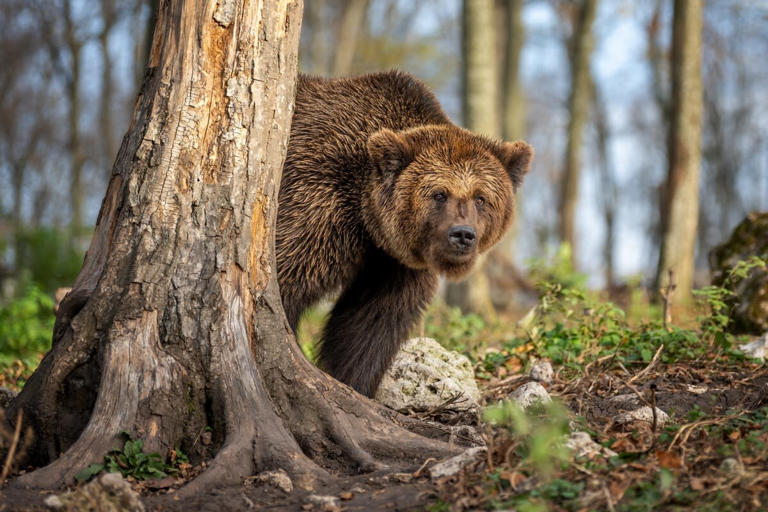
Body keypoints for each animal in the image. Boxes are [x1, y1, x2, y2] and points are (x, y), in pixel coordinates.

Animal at [276, 71, 533, 397]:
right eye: (439, 194)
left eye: (480, 198)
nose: (463, 235)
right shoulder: (315, 204)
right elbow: (285, 278)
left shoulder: (396, 265)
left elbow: (371, 325)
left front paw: (352, 381)